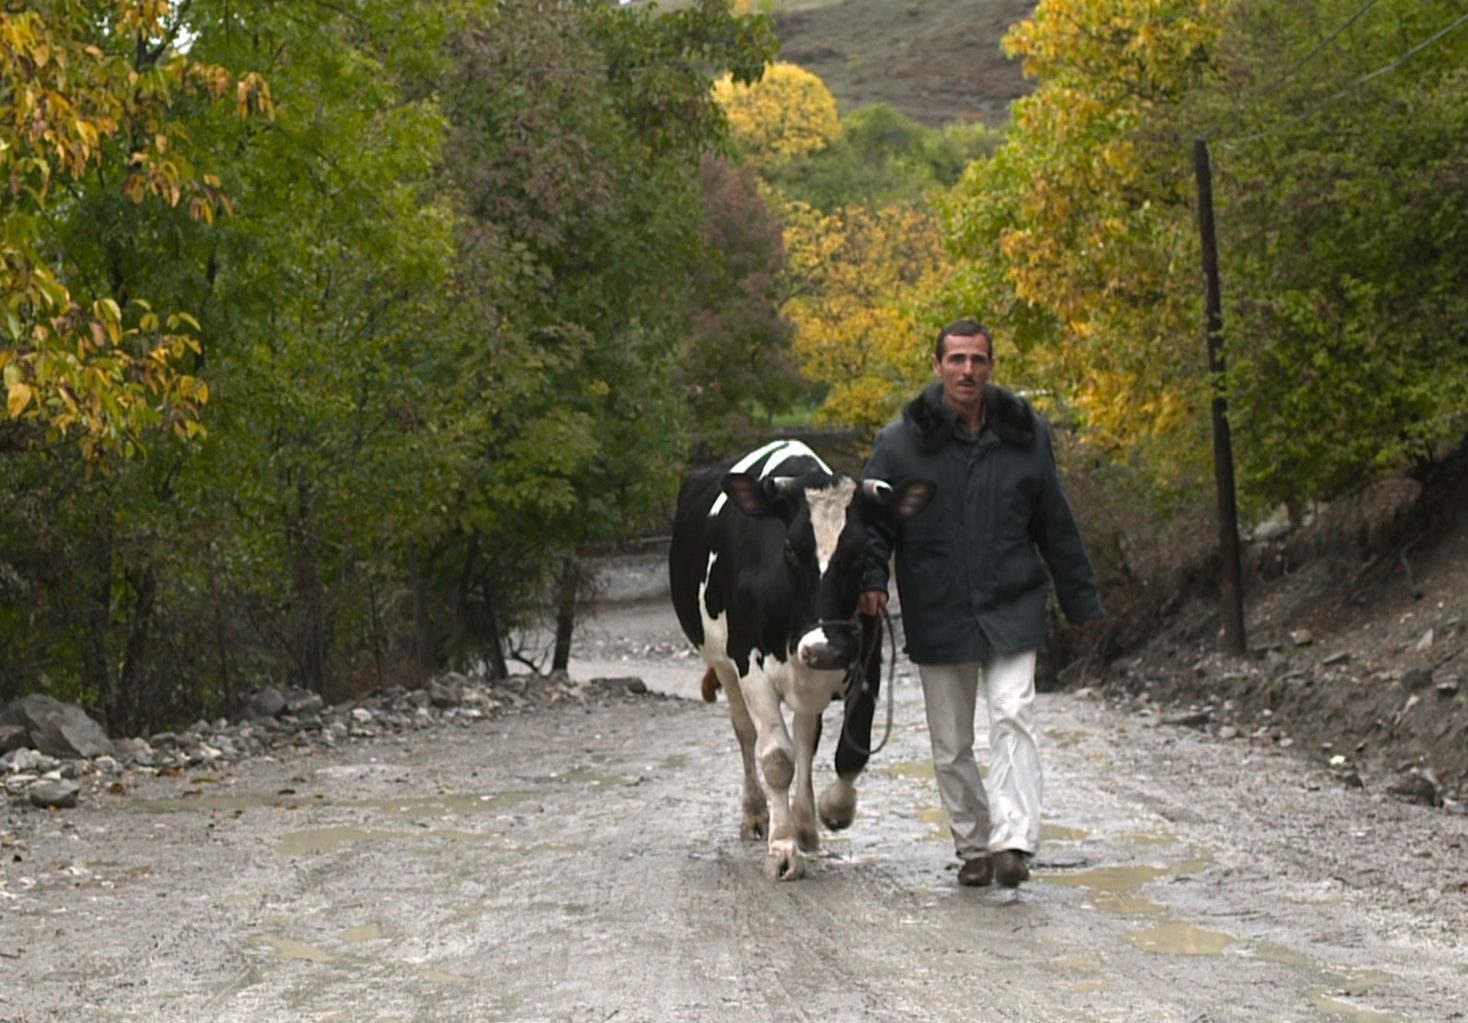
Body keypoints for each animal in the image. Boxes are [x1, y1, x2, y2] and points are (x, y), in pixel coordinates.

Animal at [669, 439, 934, 880]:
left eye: (862, 551)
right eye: (791, 549)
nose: (824, 649)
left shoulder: (866, 663)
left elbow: (851, 752)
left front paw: (831, 810)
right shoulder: (750, 665)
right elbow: (777, 759)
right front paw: (782, 847)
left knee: (807, 736)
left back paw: (805, 822)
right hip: (723, 662)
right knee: (746, 732)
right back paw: (756, 814)